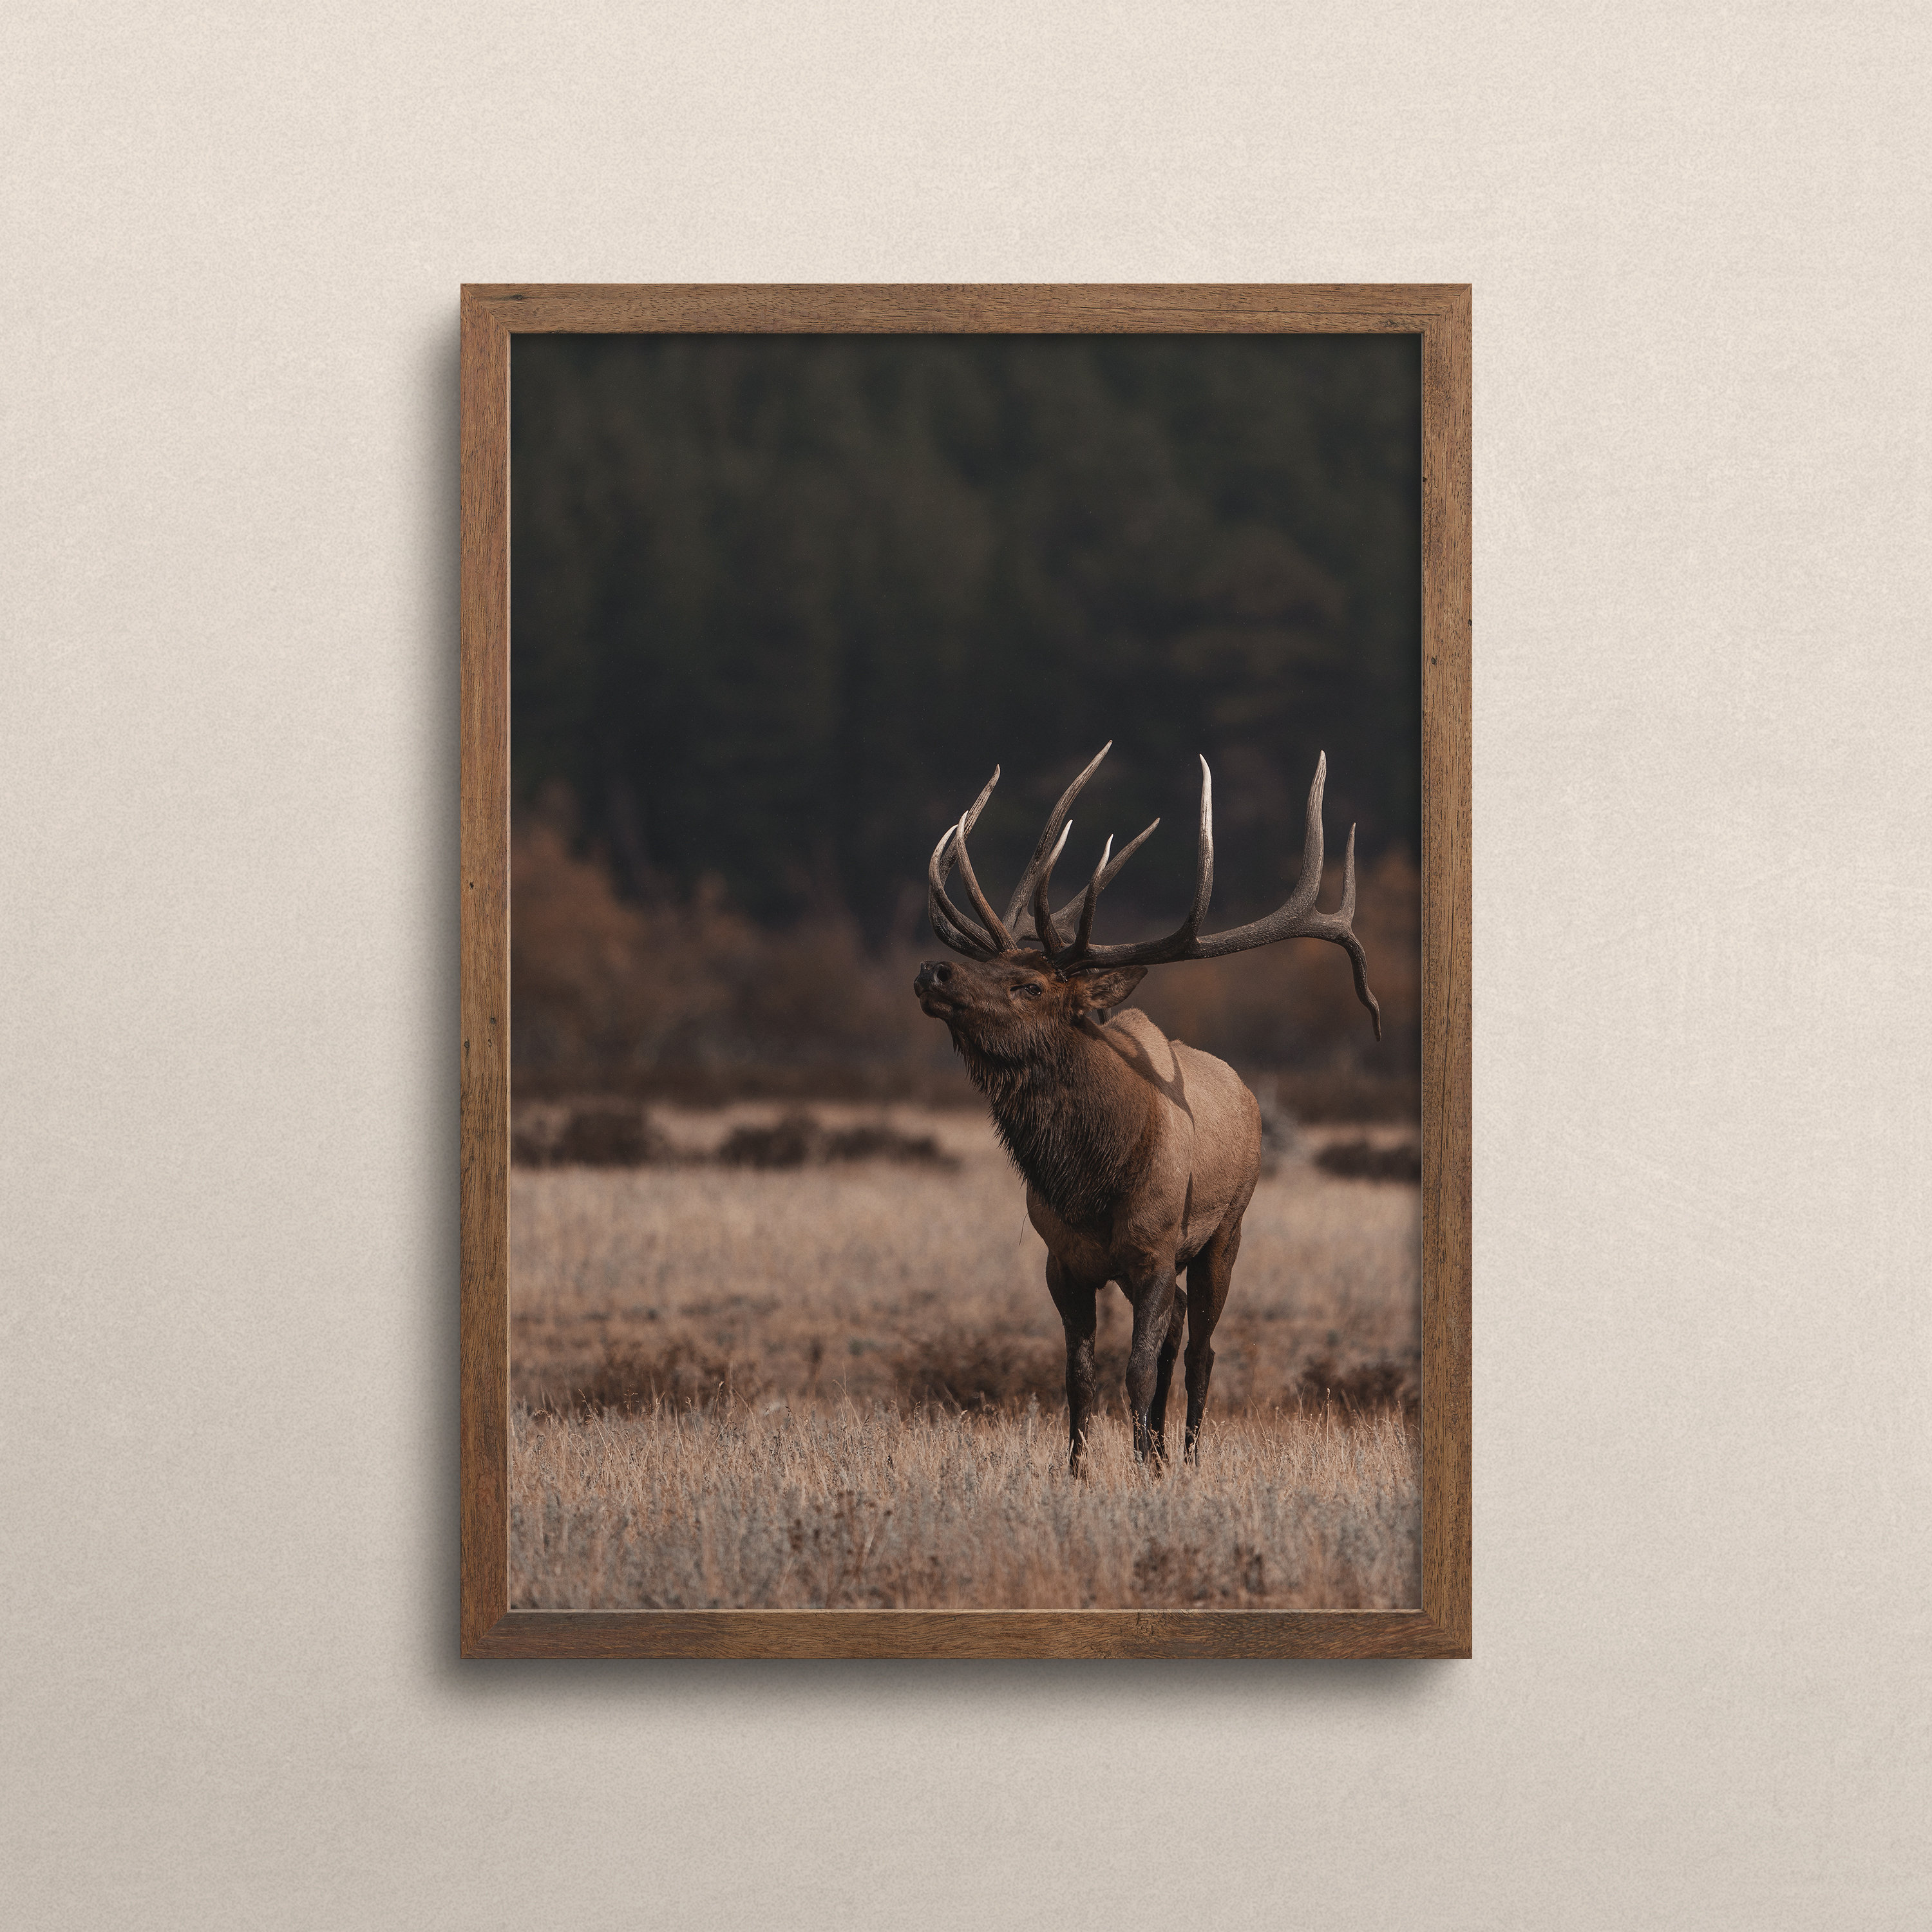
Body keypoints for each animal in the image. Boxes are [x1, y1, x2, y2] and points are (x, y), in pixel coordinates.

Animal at [913, 743, 1381, 1473]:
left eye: (1031, 984)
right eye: (991, 966)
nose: (933, 971)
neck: (1091, 1179)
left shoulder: (1156, 1250)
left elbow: (1136, 1367)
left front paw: (1138, 1470)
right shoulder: (1064, 1260)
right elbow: (1079, 1373)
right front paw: (1080, 1474)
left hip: (1226, 1231)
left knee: (1200, 1348)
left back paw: (1183, 1458)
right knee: (1179, 1330)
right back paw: (1162, 1452)